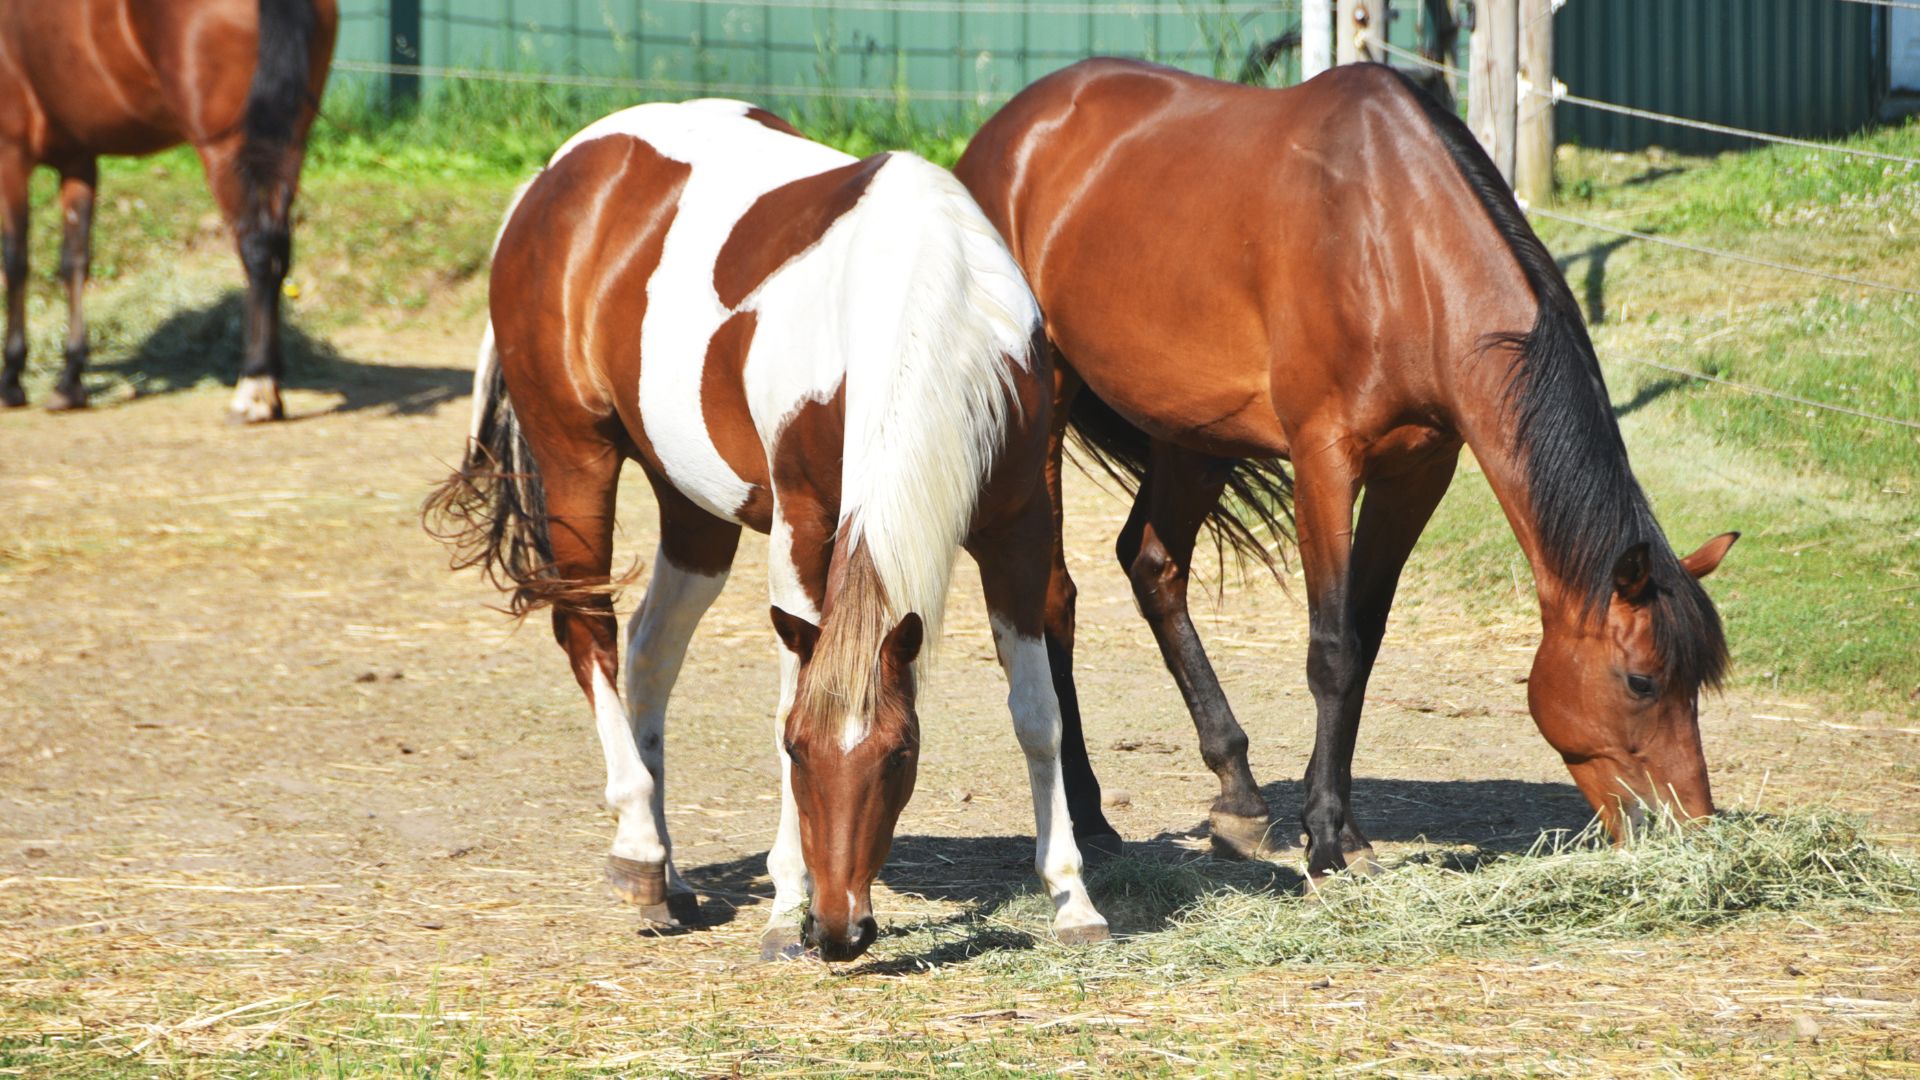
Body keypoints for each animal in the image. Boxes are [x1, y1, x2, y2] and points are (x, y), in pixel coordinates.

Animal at [0, 0, 336, 421]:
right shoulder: (78, 159)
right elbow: (73, 262)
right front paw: (70, 383)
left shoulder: (11, 153)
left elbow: (15, 263)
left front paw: (12, 380)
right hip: (286, 148)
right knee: (279, 252)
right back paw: (272, 386)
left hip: (225, 151)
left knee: (258, 250)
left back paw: (253, 389)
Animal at [425, 99, 1110, 962]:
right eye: (795, 751)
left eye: (902, 752)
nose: (841, 928)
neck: (920, 299)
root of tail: (558, 172)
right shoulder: (803, 524)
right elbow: (793, 685)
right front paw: (787, 906)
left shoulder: (1018, 525)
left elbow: (1037, 712)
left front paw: (1073, 897)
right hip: (574, 458)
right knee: (590, 633)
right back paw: (640, 852)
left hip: (691, 509)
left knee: (649, 650)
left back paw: (668, 874)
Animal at [953, 59, 1739, 883]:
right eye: (1642, 681)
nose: (1692, 827)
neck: (1399, 246)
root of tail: (1004, 134)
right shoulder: (1323, 461)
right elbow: (1331, 650)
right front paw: (1329, 841)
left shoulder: (1417, 471)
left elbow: (1365, 638)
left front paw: (1332, 820)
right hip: (1047, 403)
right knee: (1052, 598)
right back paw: (1089, 814)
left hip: (1192, 433)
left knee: (1153, 565)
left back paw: (1238, 796)